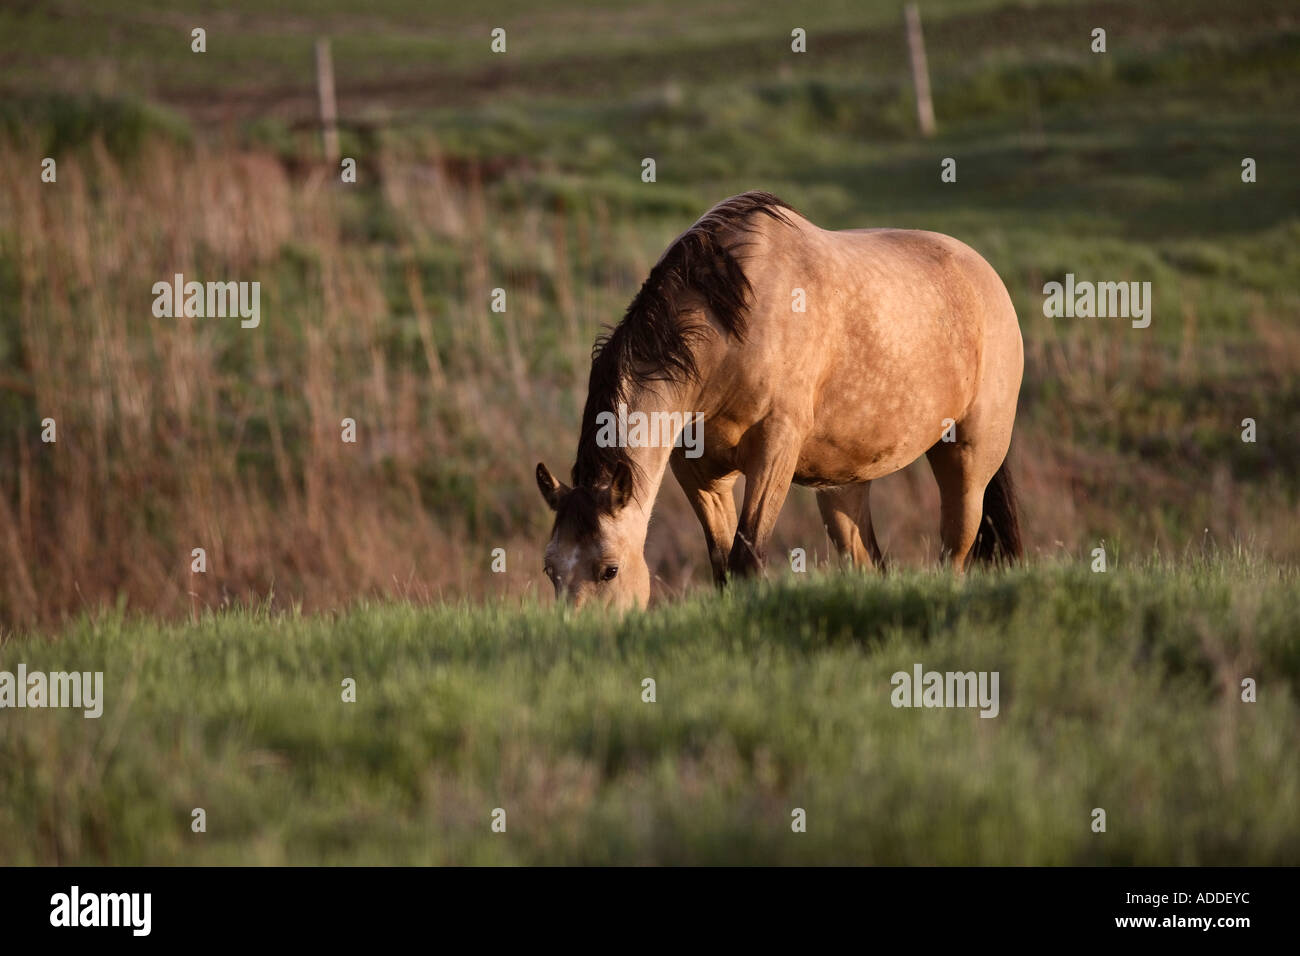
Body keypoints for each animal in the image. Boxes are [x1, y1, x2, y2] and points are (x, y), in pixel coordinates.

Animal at [537, 191, 1023, 610]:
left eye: (610, 570)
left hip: (967, 464)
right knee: (869, 563)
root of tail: (987, 278)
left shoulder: (774, 452)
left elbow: (747, 559)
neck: (731, 324)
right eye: (550, 570)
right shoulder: (699, 475)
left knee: (954, 554)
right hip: (844, 489)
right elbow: (722, 566)